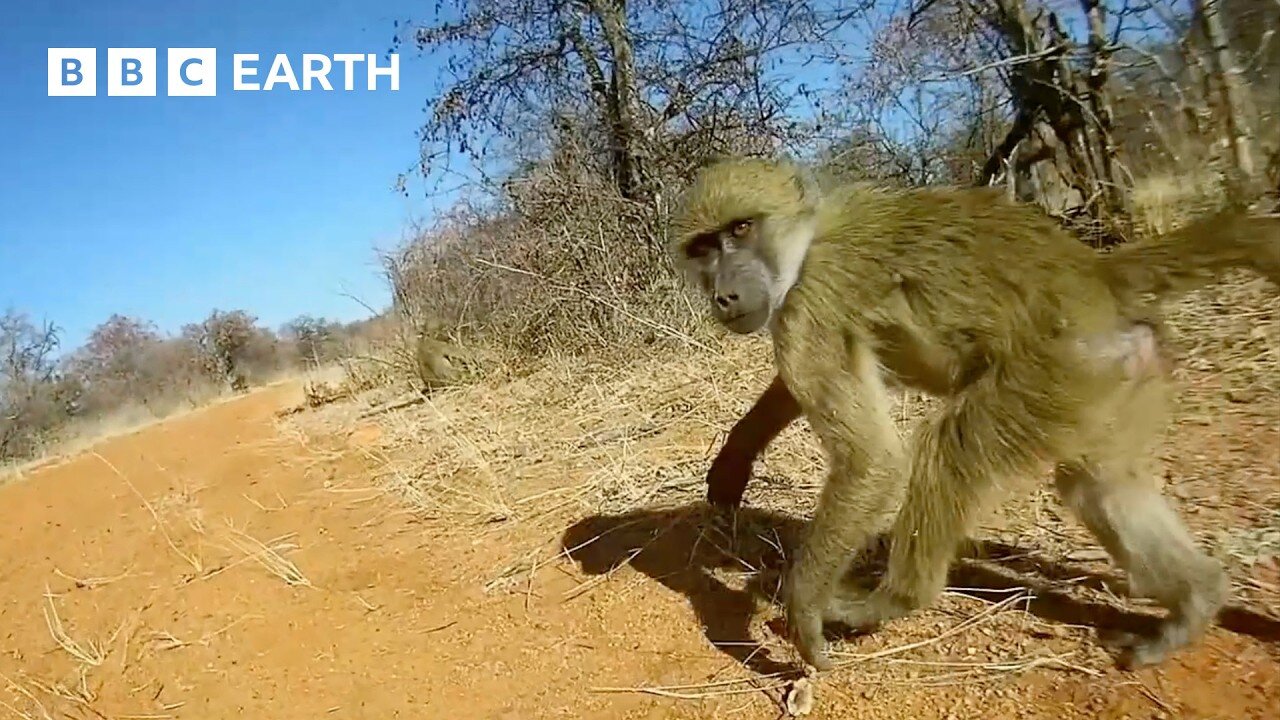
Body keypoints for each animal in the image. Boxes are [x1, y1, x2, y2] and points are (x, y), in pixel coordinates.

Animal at [668, 157, 1280, 671]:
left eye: (740, 230)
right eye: (702, 248)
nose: (723, 295)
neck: (807, 242)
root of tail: (1096, 277)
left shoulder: (811, 302)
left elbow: (874, 460)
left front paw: (803, 608)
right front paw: (736, 457)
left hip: (1055, 368)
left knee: (949, 448)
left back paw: (894, 600)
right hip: (1111, 373)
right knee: (1098, 484)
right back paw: (1196, 603)